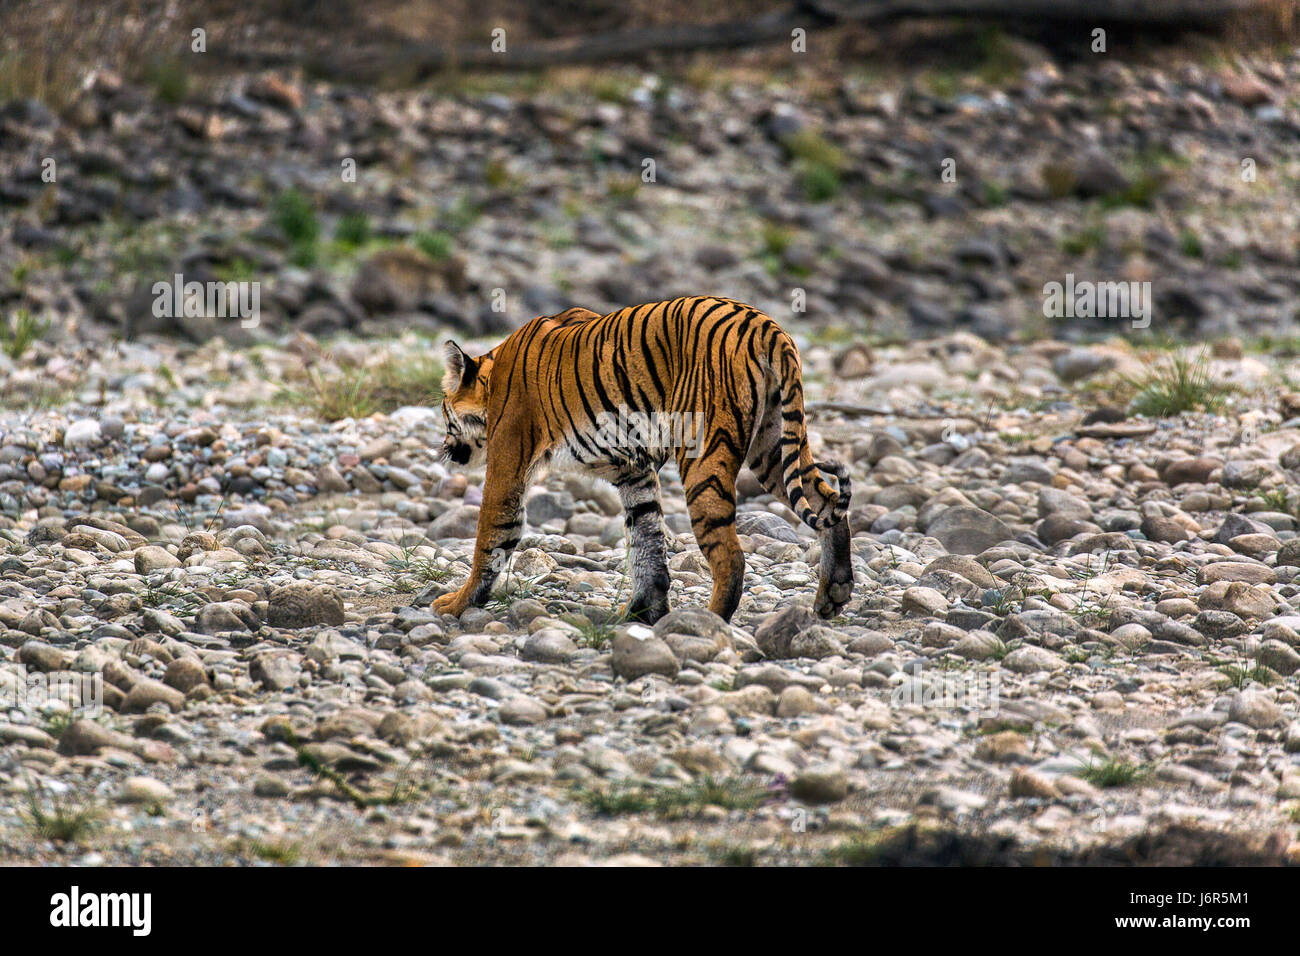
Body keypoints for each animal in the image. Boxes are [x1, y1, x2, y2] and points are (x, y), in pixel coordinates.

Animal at [433, 295, 854, 625]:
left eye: (444, 411)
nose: (445, 446)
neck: (493, 375)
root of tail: (766, 325)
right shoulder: (634, 471)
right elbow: (647, 540)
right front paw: (641, 612)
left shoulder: (508, 464)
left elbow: (491, 535)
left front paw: (456, 604)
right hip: (774, 447)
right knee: (828, 502)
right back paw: (833, 593)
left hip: (705, 458)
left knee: (731, 555)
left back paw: (709, 622)